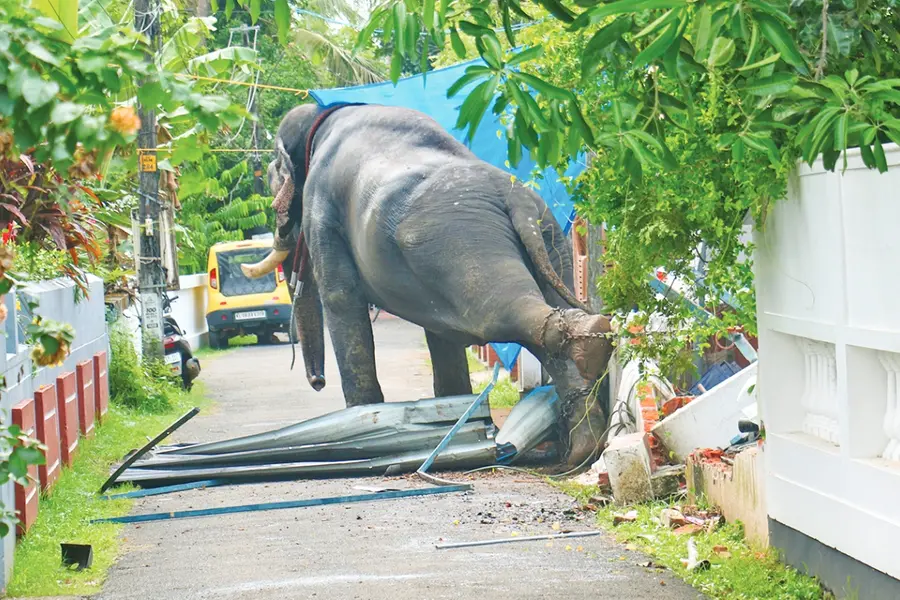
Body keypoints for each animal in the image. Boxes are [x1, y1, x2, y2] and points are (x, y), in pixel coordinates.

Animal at [241, 102, 614, 468]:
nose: (318, 382)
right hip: (548, 241)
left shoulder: (322, 209)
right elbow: (439, 331)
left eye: (274, 185)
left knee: (499, 313)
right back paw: (581, 446)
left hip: (461, 241)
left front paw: (363, 414)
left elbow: (341, 297)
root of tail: (514, 200)